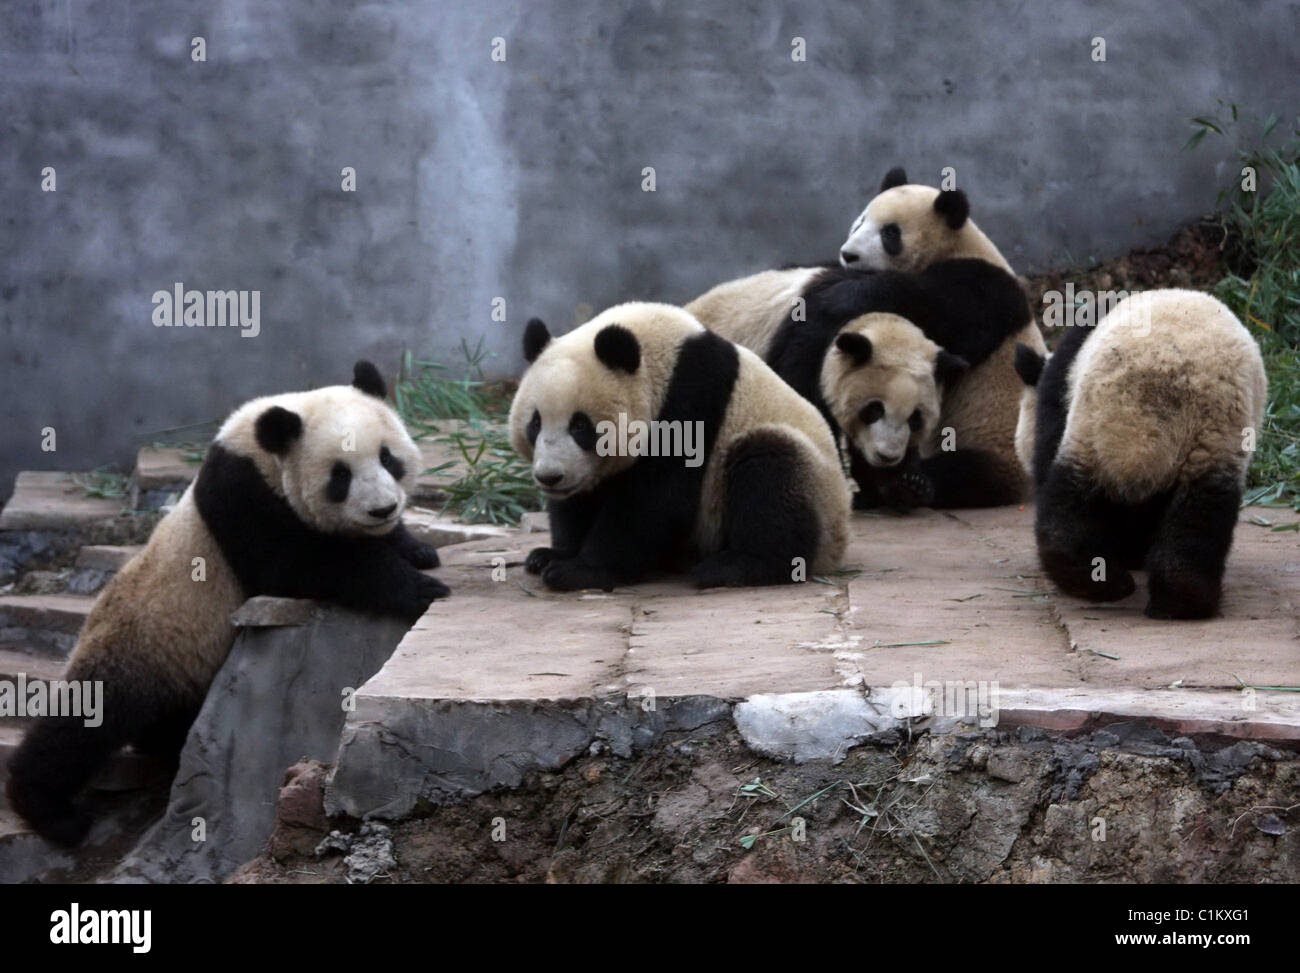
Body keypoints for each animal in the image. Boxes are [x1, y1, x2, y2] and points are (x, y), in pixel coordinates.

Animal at [5, 362, 449, 846]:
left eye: (388, 458)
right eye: (340, 475)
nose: (382, 508)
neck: (258, 446)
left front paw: (417, 549)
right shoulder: (243, 494)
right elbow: (296, 566)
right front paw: (419, 588)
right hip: (140, 644)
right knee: (84, 722)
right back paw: (51, 812)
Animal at [509, 302, 851, 590]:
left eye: (580, 425)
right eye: (535, 423)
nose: (550, 477)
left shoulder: (691, 397)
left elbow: (657, 497)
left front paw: (580, 571)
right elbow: (581, 499)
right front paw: (553, 555)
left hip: (811, 483)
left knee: (769, 472)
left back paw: (733, 567)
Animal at [686, 170, 1037, 507]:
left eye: (890, 233)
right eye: (859, 221)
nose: (848, 255)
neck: (956, 244)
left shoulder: (980, 288)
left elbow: (925, 305)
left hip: (992, 435)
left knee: (967, 472)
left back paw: (907, 485)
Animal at [1011, 289, 1267, 619]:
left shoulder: (1058, 391)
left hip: (1095, 428)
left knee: (1068, 501)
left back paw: (1105, 583)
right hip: (1209, 440)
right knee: (1202, 512)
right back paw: (1174, 598)